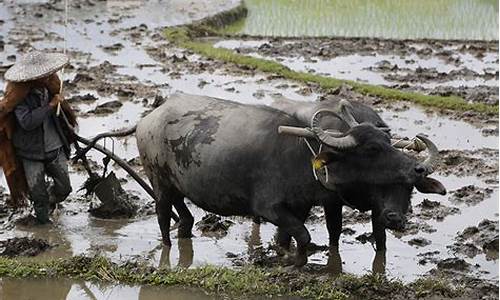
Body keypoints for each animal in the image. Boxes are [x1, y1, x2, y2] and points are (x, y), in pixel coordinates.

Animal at [137, 92, 446, 266]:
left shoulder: (301, 205)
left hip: (176, 185)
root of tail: (149, 119)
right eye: (372, 149)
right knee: (163, 217)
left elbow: (293, 235)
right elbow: (304, 235)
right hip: (158, 183)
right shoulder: (268, 208)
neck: (302, 157)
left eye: (410, 189)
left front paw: (284, 256)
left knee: (185, 216)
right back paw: (166, 251)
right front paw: (295, 261)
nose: (415, 169)